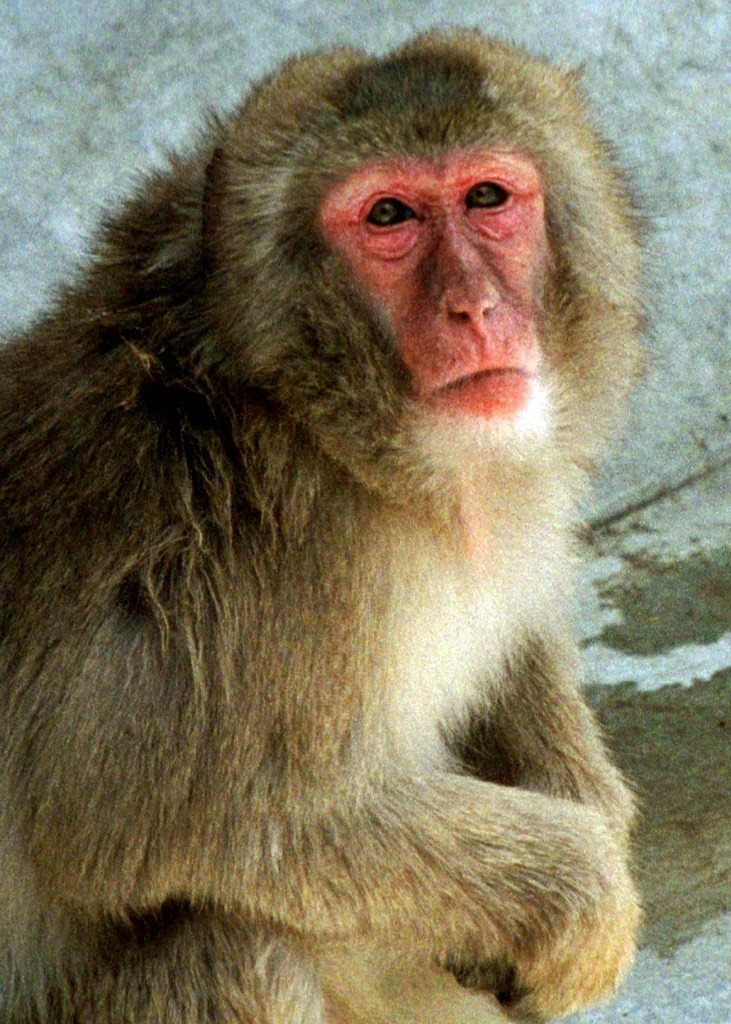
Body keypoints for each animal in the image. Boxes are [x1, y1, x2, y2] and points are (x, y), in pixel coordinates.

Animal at [0, 27, 644, 1024]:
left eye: (487, 198)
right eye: (387, 216)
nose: (475, 309)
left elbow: (514, 645)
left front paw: (591, 809)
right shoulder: (236, 572)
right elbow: (162, 826)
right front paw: (582, 889)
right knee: (240, 946)